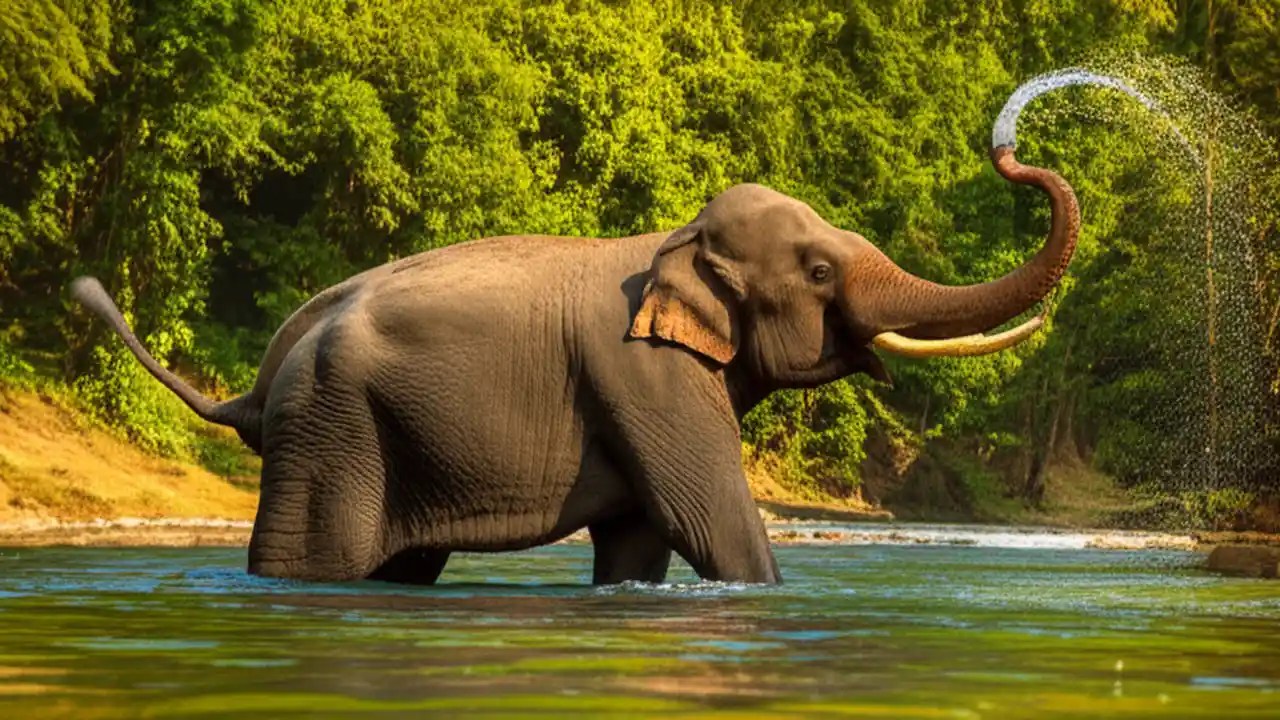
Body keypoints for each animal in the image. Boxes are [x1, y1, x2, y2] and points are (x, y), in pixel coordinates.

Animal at [71, 145, 1078, 585]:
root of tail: (256, 382)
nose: (1012, 156)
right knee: (317, 561)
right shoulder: (648, 379)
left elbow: (639, 537)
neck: (674, 238)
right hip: (329, 436)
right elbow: (710, 521)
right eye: (821, 271)